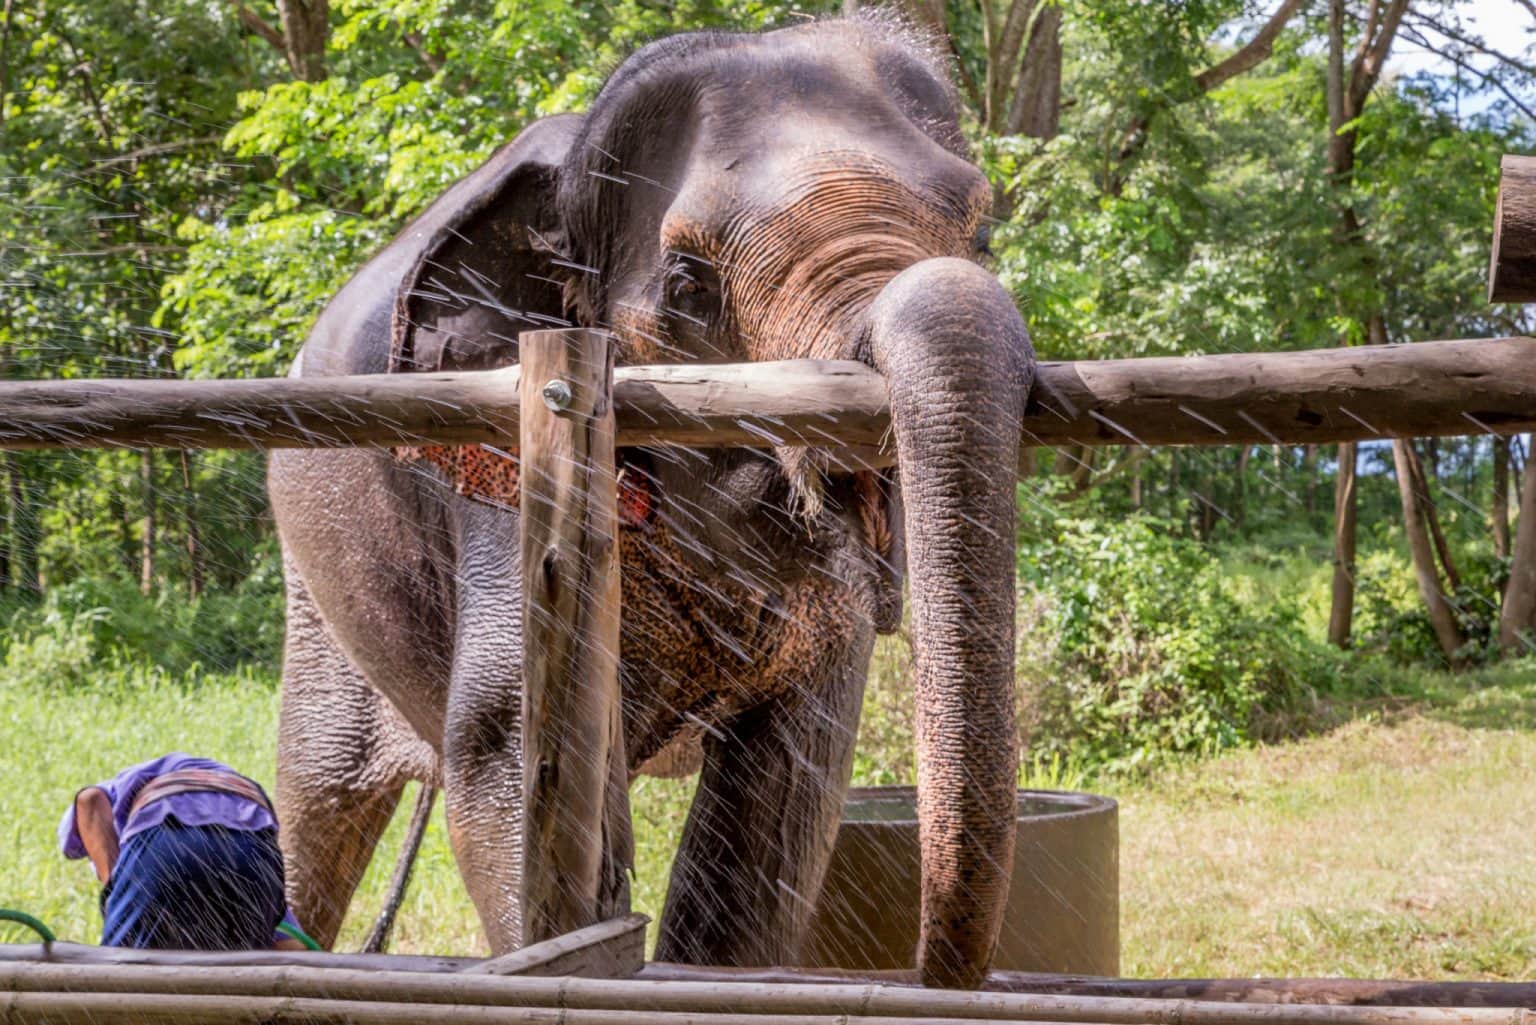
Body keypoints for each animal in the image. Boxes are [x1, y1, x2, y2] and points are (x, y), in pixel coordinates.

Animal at [267, 12, 1034, 989]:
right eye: (688, 288)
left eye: (982, 236)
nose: (928, 969)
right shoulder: (508, 457)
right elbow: (505, 750)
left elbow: (782, 806)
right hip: (313, 579)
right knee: (316, 797)